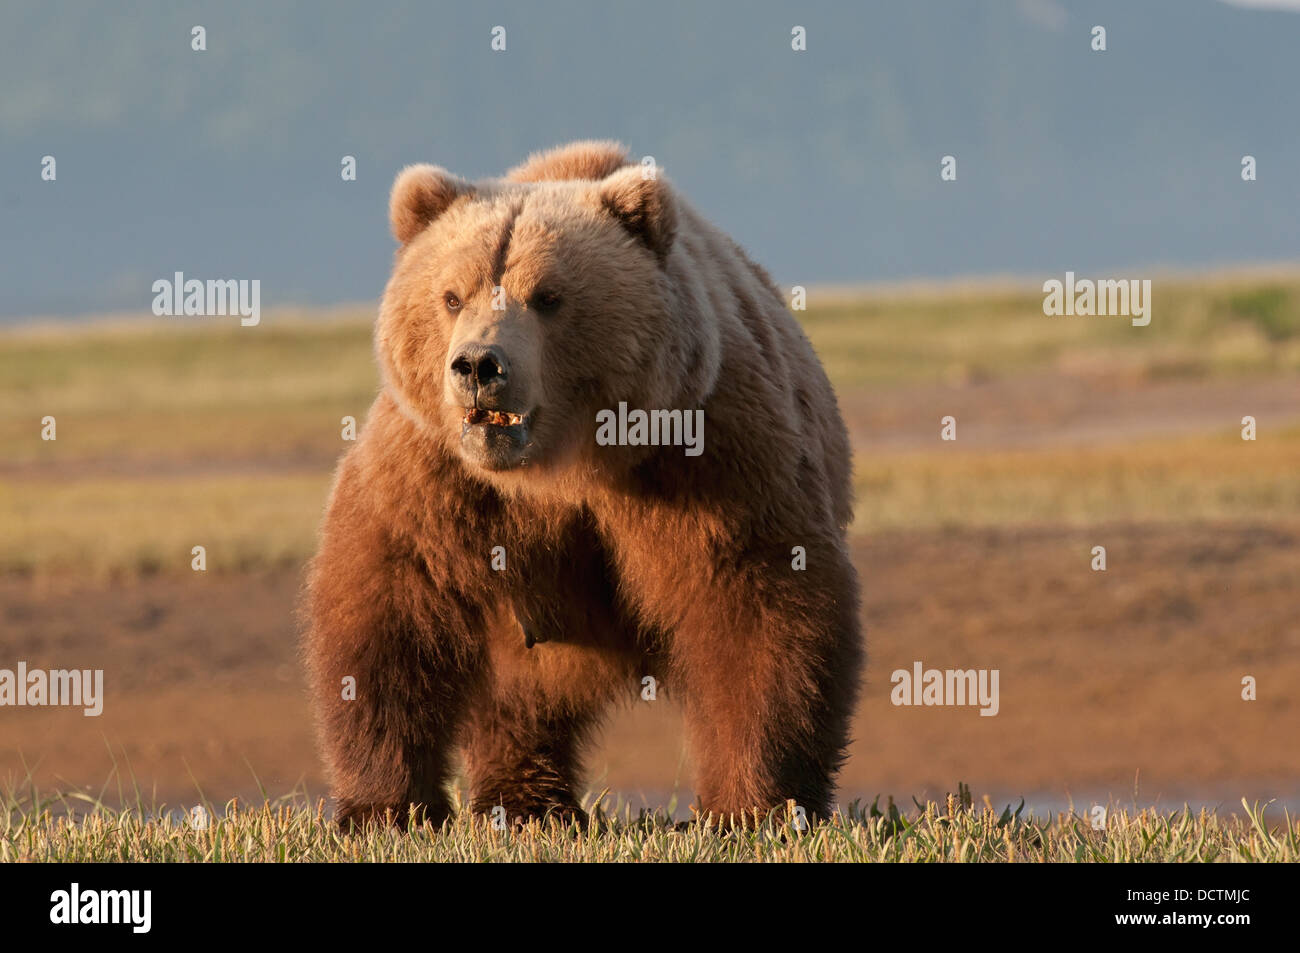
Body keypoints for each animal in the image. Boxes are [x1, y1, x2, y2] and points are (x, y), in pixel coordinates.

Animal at [302, 141, 862, 830]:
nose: (479, 366)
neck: (562, 468)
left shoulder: (706, 454)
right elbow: (389, 600)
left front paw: (754, 806)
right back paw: (528, 802)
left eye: (546, 296)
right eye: (452, 296)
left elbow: (756, 598)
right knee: (518, 696)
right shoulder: (436, 474)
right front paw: (384, 808)